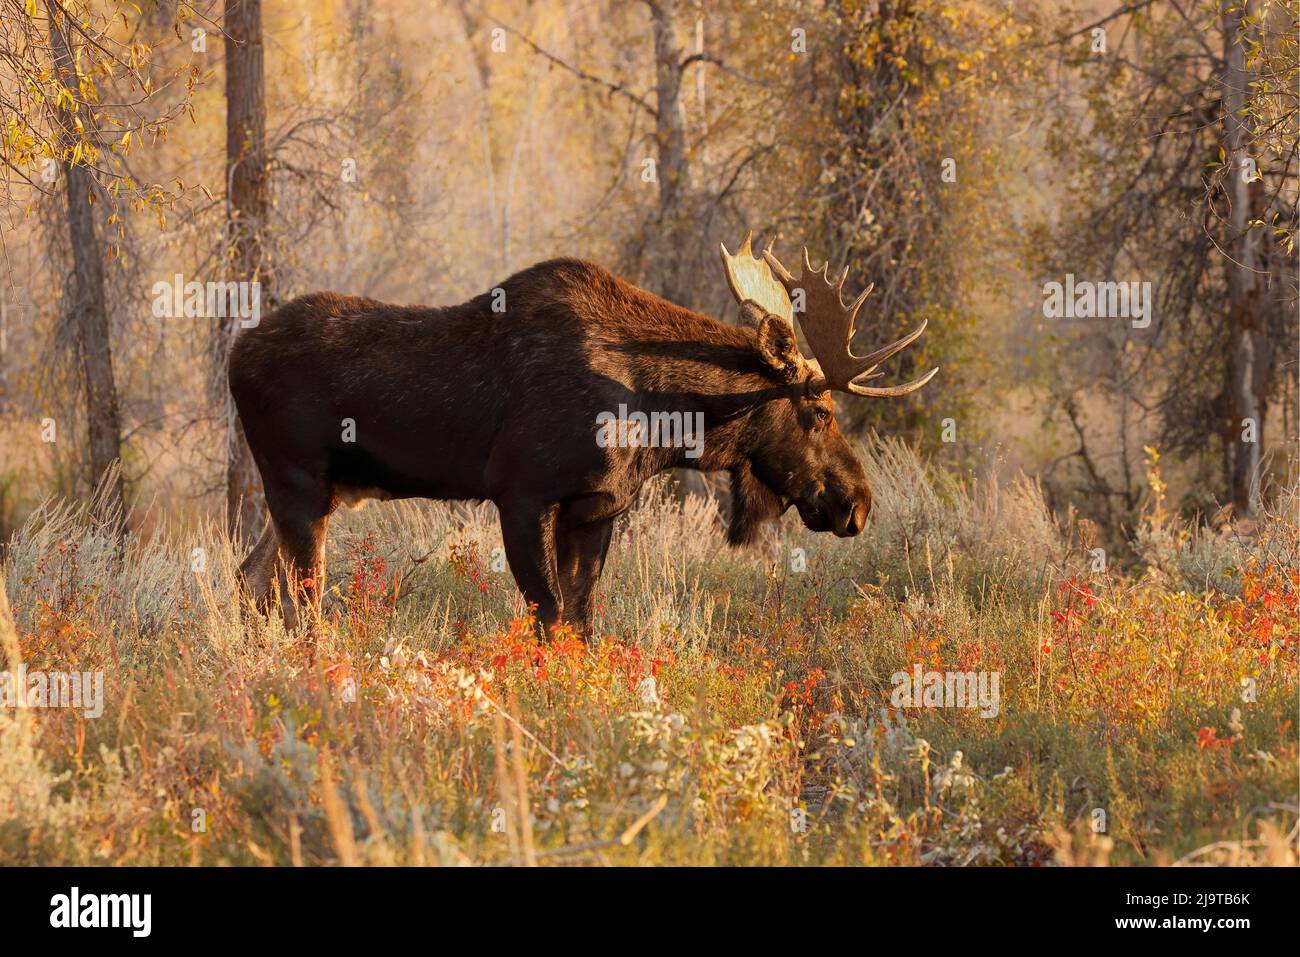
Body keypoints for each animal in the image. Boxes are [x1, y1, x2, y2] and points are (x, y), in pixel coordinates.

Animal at [227, 234, 936, 637]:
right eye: (819, 411)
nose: (857, 504)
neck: (659, 414)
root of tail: (234, 354)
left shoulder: (596, 508)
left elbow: (580, 619)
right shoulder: (522, 494)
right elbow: (548, 618)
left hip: (324, 495)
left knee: (251, 580)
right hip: (296, 484)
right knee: (299, 601)